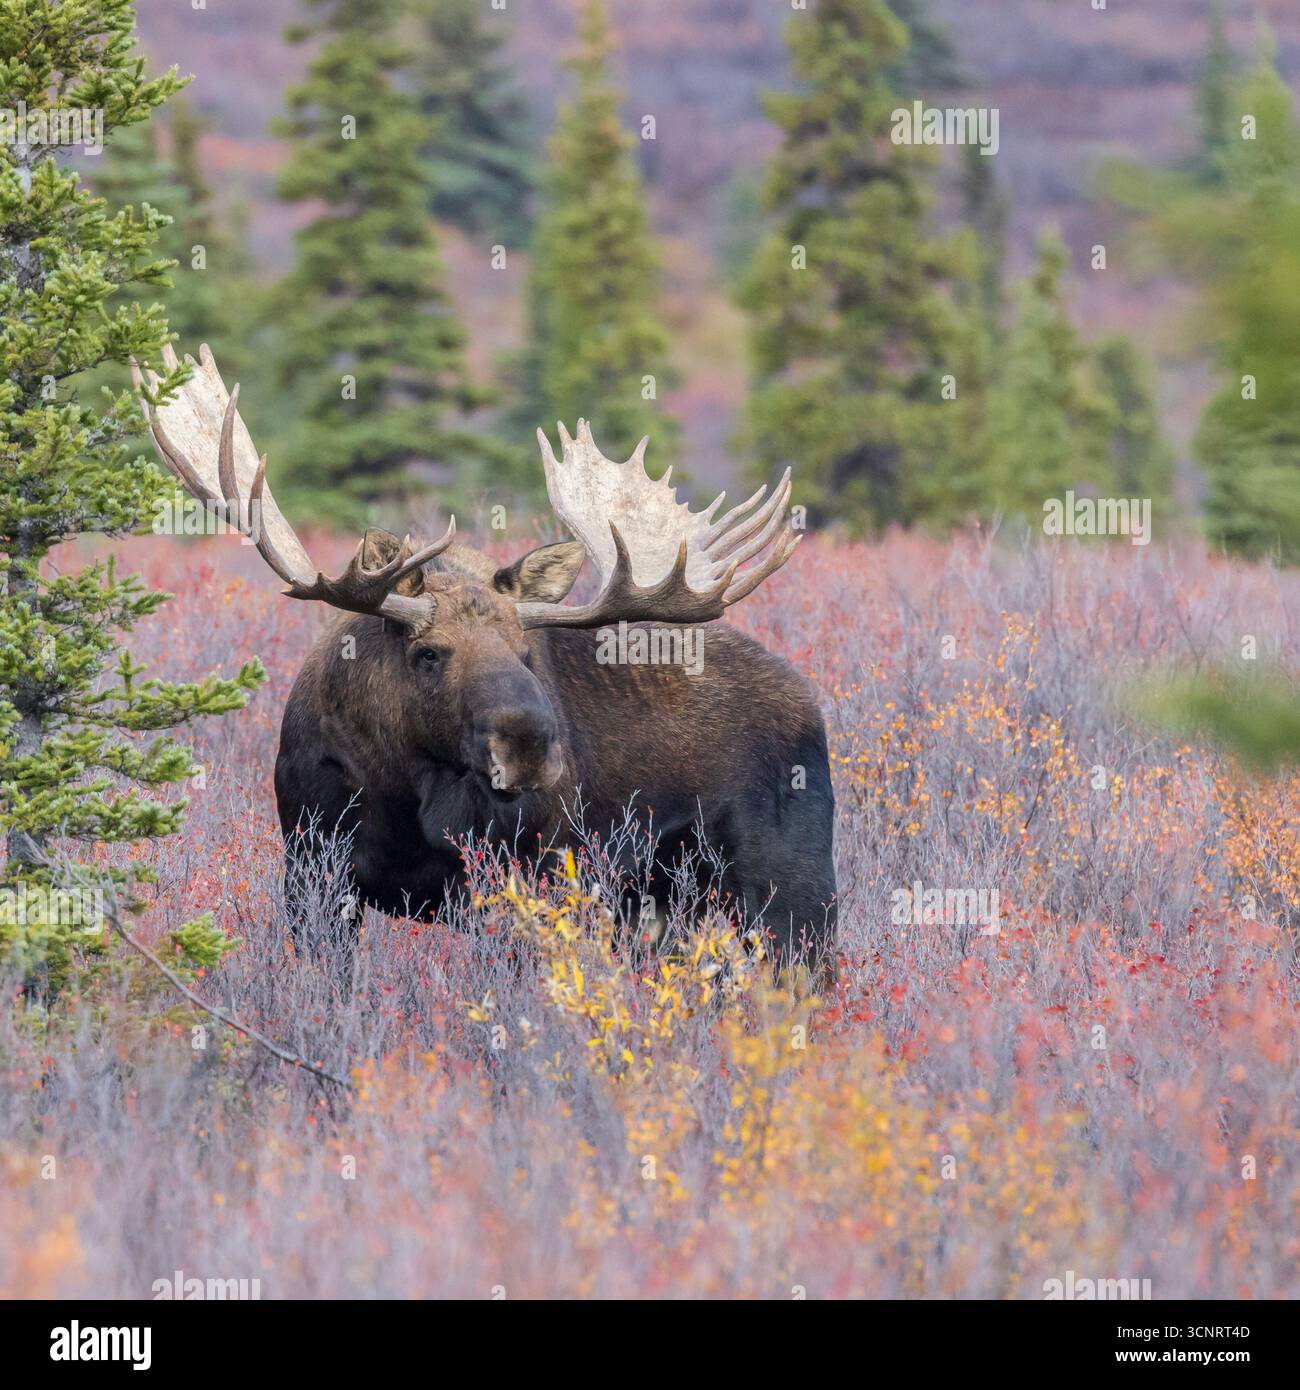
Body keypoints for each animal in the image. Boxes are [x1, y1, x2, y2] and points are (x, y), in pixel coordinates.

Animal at [134, 345, 837, 976]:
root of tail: (808, 701)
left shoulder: (524, 878)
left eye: (527, 653)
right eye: (427, 653)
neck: (402, 783)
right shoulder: (311, 870)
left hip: (790, 885)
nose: (529, 748)